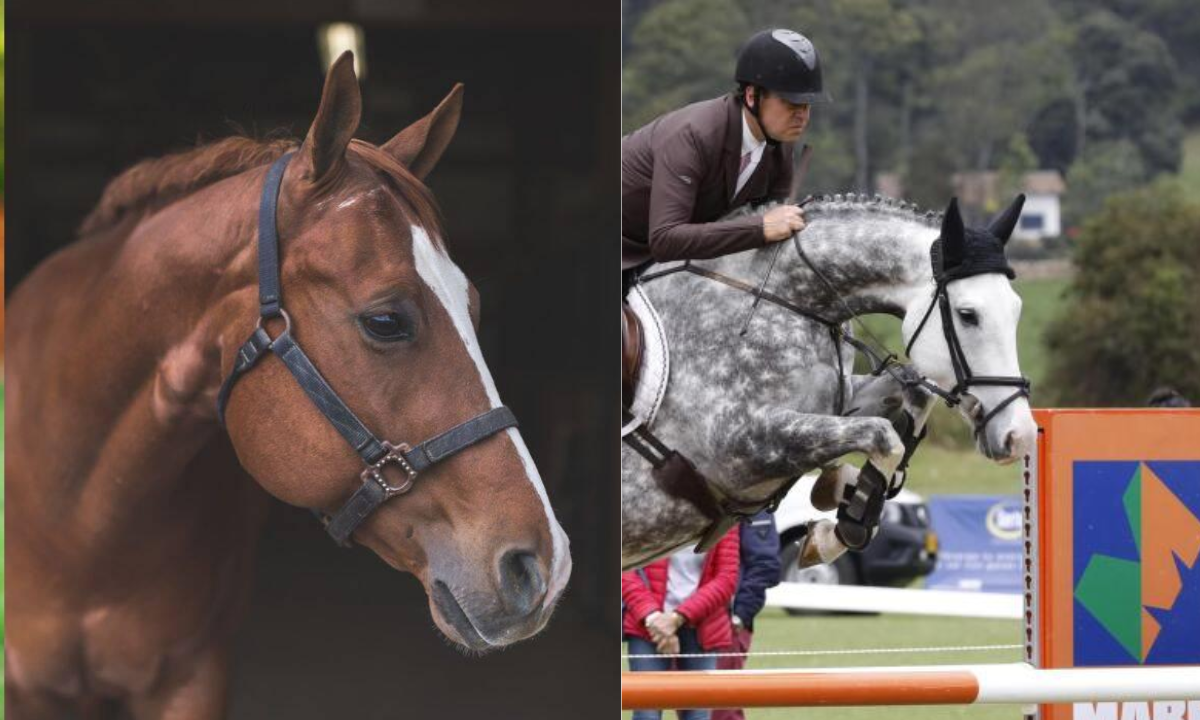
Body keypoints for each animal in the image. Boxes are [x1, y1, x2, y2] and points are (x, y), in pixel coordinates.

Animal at [622, 193, 1037, 569]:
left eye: (1017, 310)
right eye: (968, 315)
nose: (1020, 436)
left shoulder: (835, 401)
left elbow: (915, 396)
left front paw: (840, 489)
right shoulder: (740, 442)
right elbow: (883, 437)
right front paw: (834, 532)